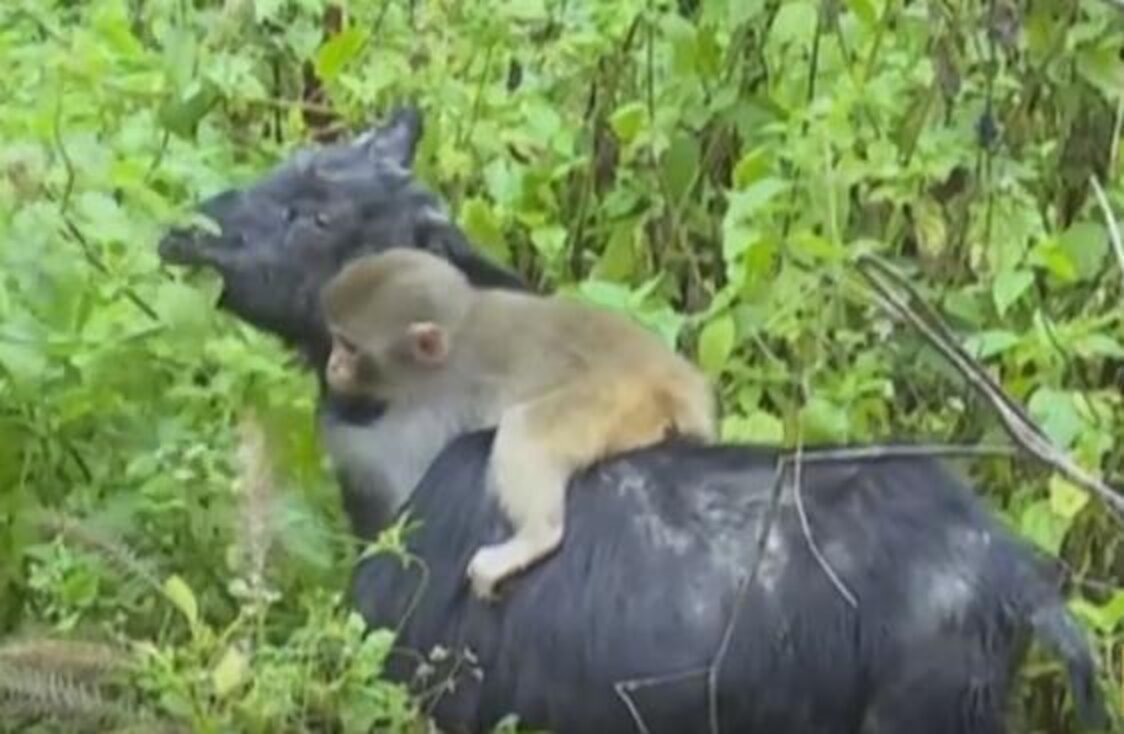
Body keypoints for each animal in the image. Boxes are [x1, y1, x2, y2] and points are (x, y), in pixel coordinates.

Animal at [319, 247, 717, 600]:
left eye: (349, 347)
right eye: (335, 341)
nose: (333, 365)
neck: (456, 336)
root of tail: (674, 379)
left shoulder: (434, 406)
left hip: (614, 399)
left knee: (524, 428)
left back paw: (537, 538)